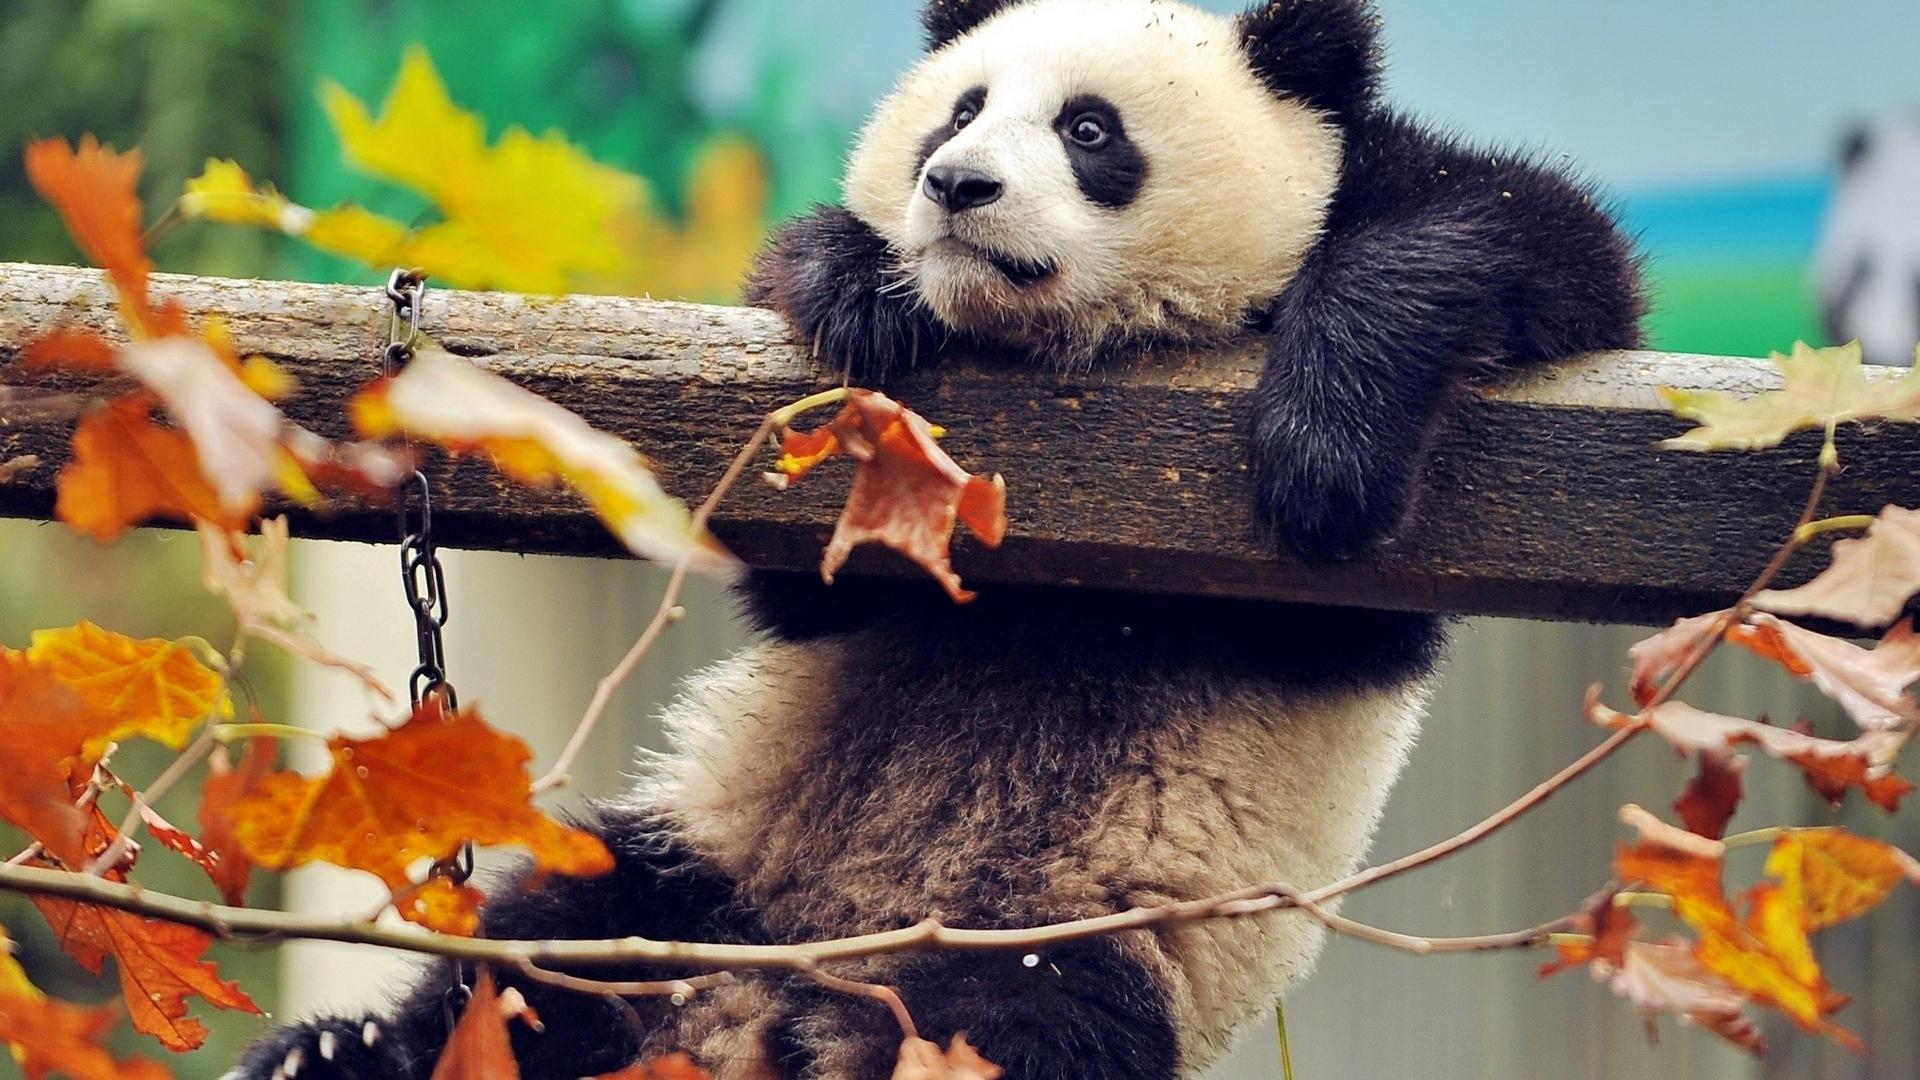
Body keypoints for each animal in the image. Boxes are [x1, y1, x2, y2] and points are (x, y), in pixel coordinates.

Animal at [233, 0, 1642, 1077]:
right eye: (956, 113)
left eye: (1089, 129)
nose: (956, 187)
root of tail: (776, 998)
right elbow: (816, 587)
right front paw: (858, 287)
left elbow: (1524, 248)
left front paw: (1327, 446)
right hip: (710, 861)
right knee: (553, 942)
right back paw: (336, 1054)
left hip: (1084, 941)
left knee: (1021, 1027)